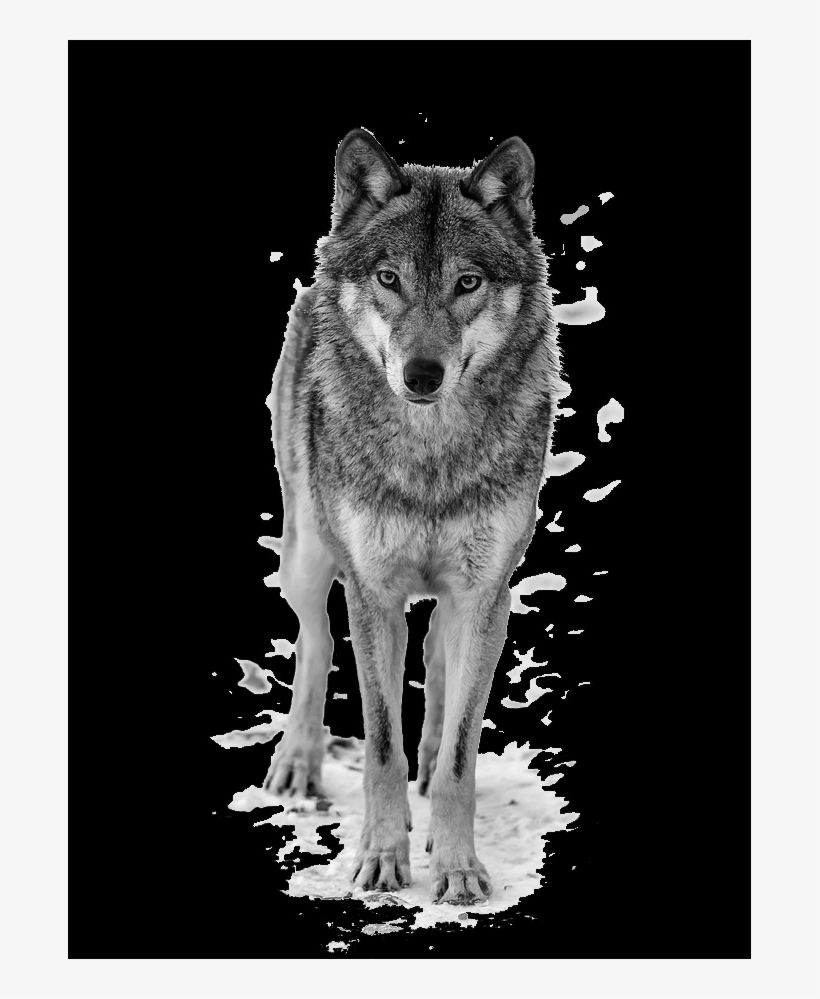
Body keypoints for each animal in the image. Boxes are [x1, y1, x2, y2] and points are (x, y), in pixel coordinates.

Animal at [264, 128, 561, 905]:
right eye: (390, 278)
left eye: (467, 283)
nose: (421, 375)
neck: (430, 459)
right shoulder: (373, 591)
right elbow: (378, 744)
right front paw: (380, 860)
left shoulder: (485, 592)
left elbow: (460, 754)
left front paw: (455, 867)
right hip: (307, 555)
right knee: (315, 643)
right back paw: (298, 763)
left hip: (464, 600)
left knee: (436, 663)